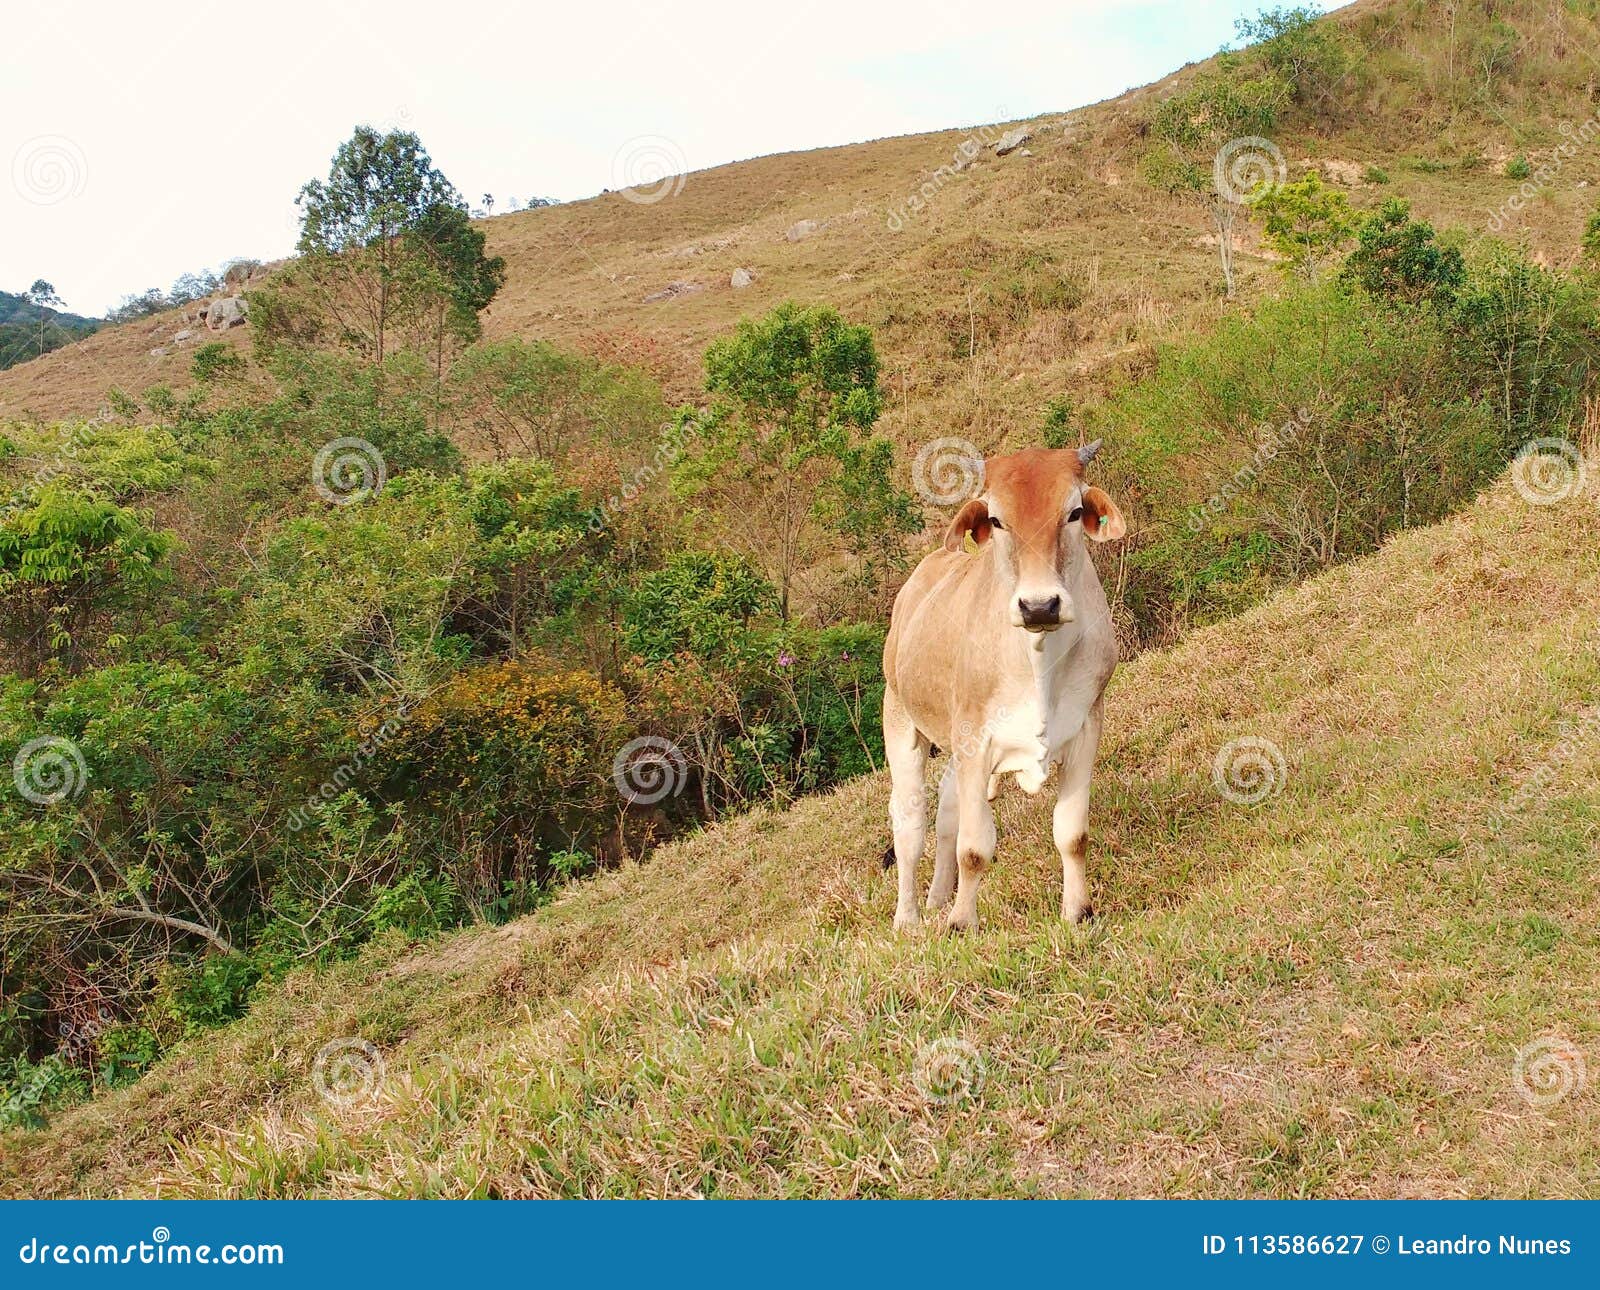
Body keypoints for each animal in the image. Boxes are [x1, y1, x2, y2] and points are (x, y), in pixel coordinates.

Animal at [881, 442, 1125, 932]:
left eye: (1073, 512)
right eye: (996, 520)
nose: (1039, 605)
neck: (1038, 658)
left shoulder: (1087, 727)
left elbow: (1072, 834)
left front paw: (1078, 911)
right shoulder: (974, 740)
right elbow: (975, 849)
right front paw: (962, 923)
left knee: (946, 813)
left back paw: (937, 898)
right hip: (899, 720)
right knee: (909, 826)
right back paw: (909, 917)